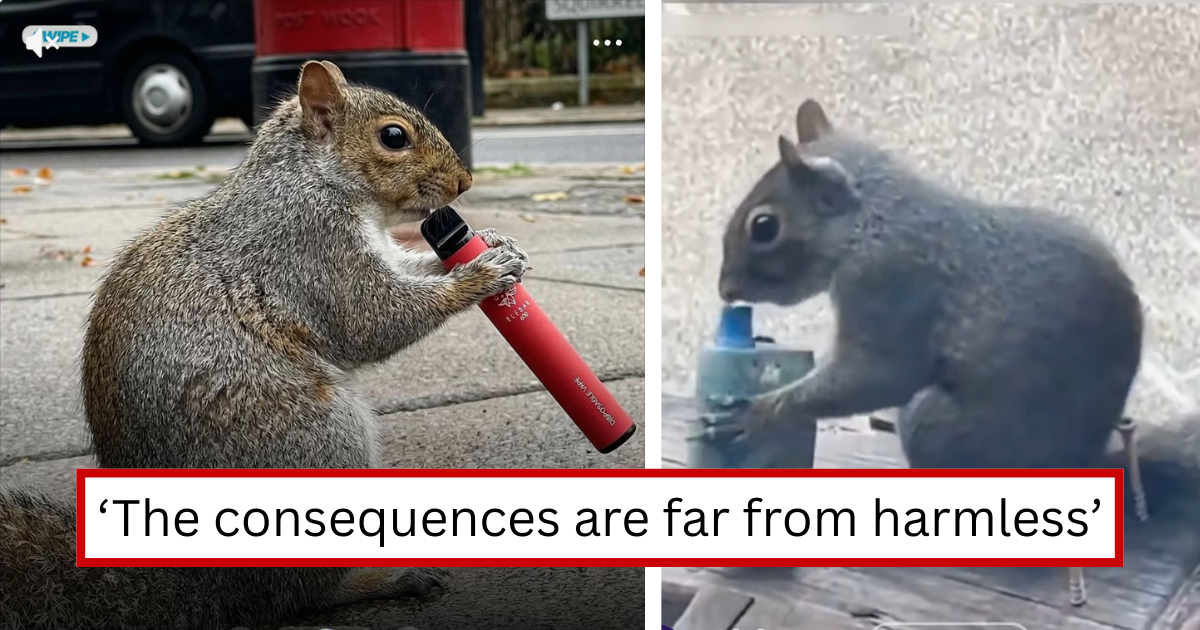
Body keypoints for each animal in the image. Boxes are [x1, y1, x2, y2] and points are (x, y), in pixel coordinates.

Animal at [1, 60, 528, 629]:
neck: (314, 177)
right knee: (299, 596)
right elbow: (372, 319)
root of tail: (198, 589)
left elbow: (414, 267)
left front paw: (494, 244)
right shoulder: (309, 249)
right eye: (393, 137)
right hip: (319, 443)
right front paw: (478, 275)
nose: (465, 181)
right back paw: (383, 579)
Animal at [718, 99, 1197, 488]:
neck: (868, 222)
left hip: (936, 425)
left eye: (764, 226)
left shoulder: (889, 288)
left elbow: (877, 375)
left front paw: (756, 413)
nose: (725, 290)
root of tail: (1082, 463)